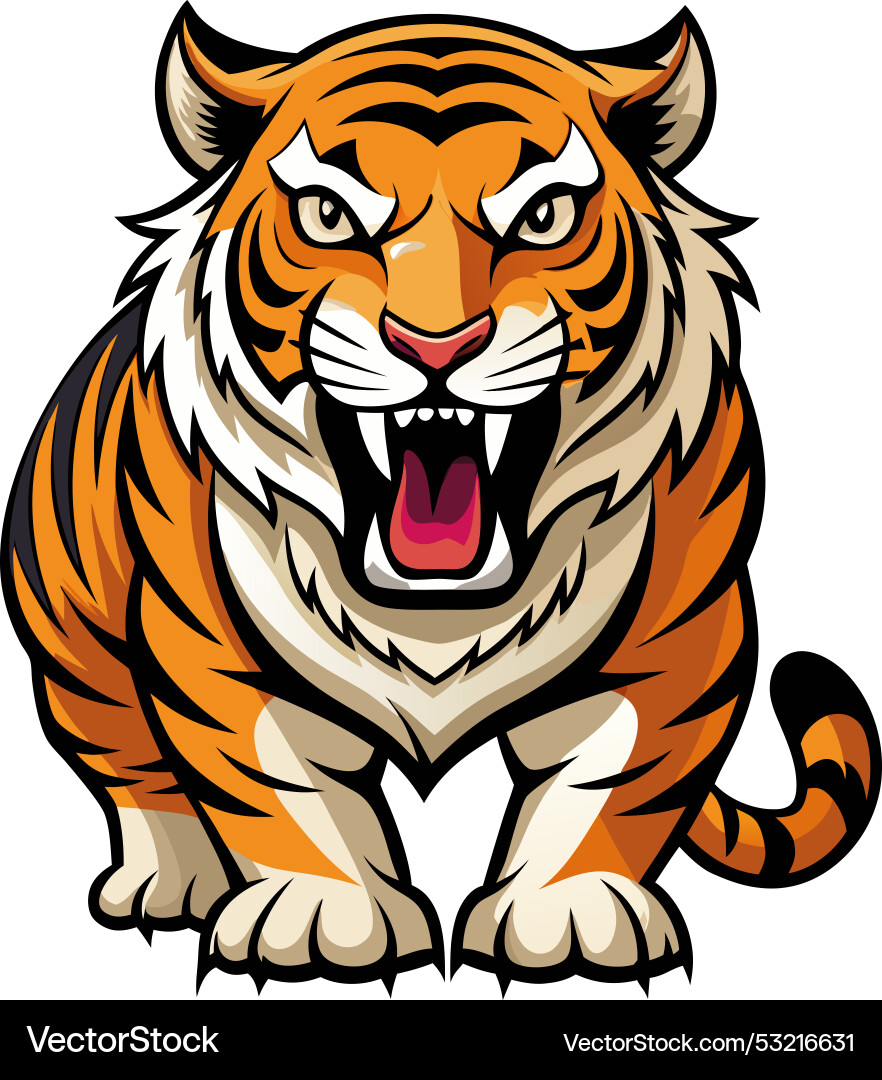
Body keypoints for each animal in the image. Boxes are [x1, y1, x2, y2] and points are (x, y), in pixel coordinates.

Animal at [2, 4, 878, 995]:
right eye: (329, 215)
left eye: (543, 215)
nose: (436, 345)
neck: (435, 614)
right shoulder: (209, 652)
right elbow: (279, 780)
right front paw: (321, 919)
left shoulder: (678, 640)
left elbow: (614, 772)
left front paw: (571, 918)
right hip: (71, 627)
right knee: (124, 754)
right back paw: (171, 878)